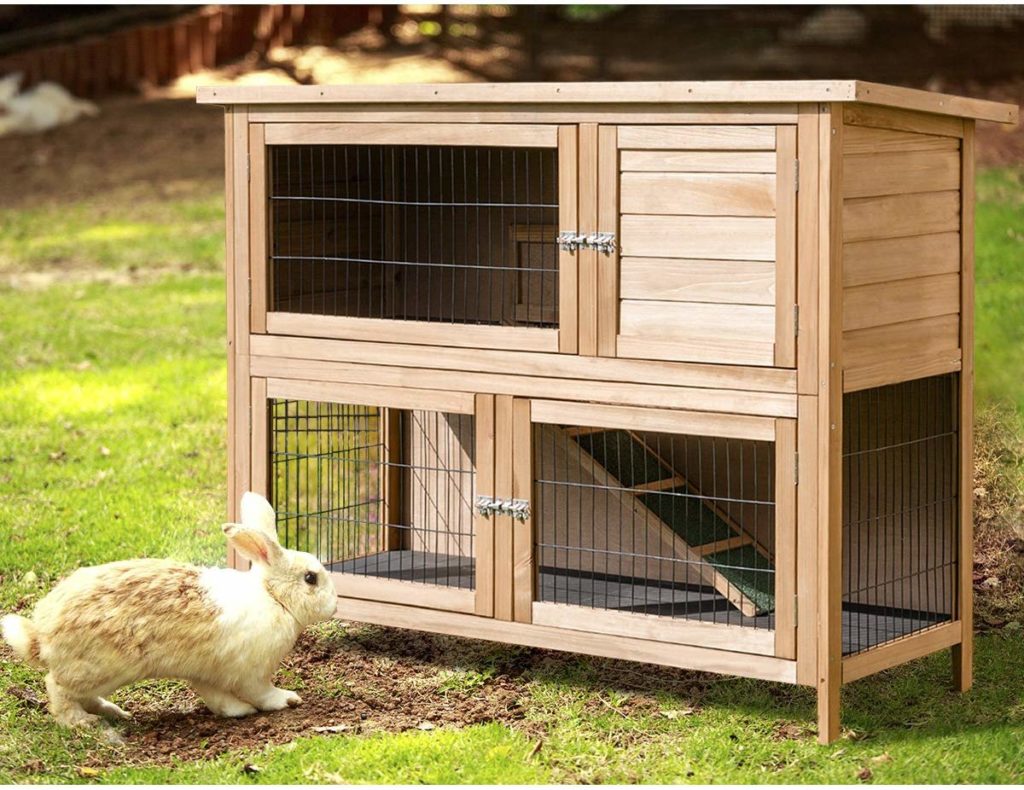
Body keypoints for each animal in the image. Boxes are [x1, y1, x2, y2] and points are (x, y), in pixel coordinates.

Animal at [1, 492, 337, 739]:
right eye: (311, 578)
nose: (334, 605)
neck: (273, 597)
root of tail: (41, 638)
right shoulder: (250, 672)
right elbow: (261, 693)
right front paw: (288, 699)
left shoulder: (206, 673)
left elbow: (218, 699)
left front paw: (237, 711)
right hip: (97, 670)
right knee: (57, 688)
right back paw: (82, 721)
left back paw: (116, 712)